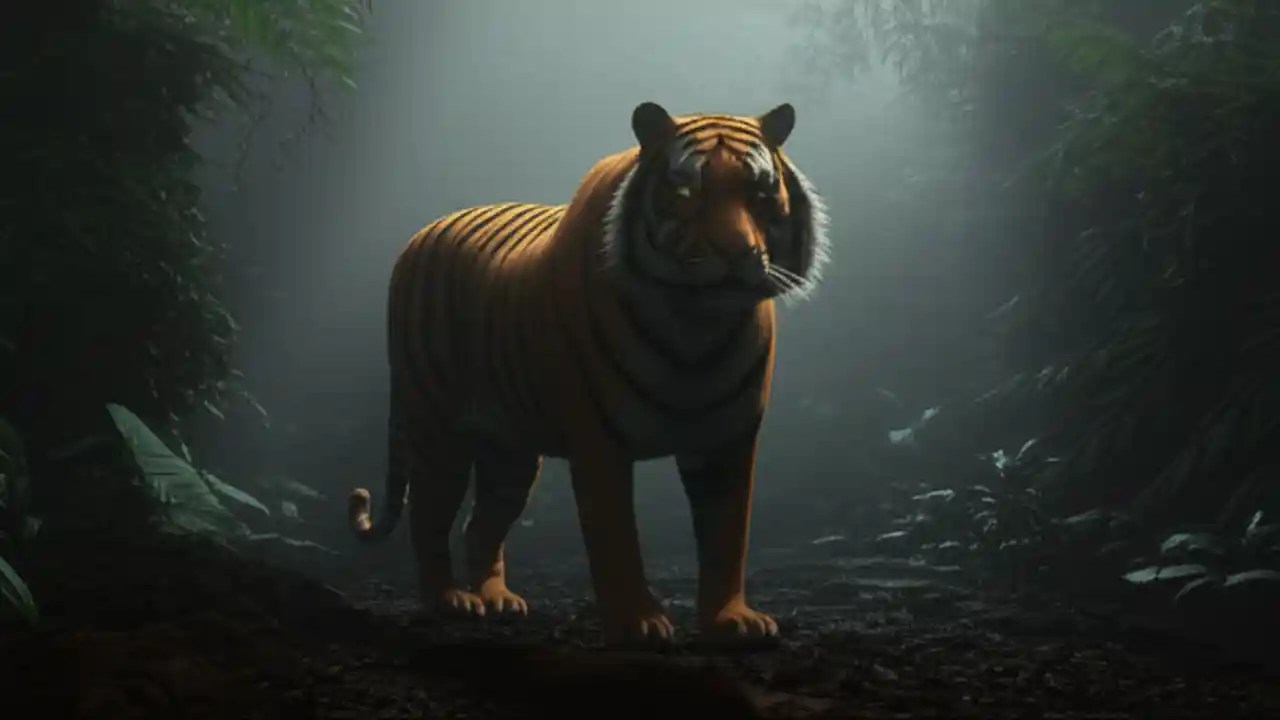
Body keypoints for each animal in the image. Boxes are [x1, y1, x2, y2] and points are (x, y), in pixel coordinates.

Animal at [348, 101, 830, 647]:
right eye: (687, 192)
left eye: (761, 193)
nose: (736, 253)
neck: (695, 326)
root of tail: (419, 234)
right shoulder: (599, 441)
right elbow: (615, 536)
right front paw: (637, 621)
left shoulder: (728, 440)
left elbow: (728, 535)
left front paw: (732, 619)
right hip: (438, 429)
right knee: (429, 513)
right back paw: (449, 600)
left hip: (510, 452)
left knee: (480, 524)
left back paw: (498, 598)